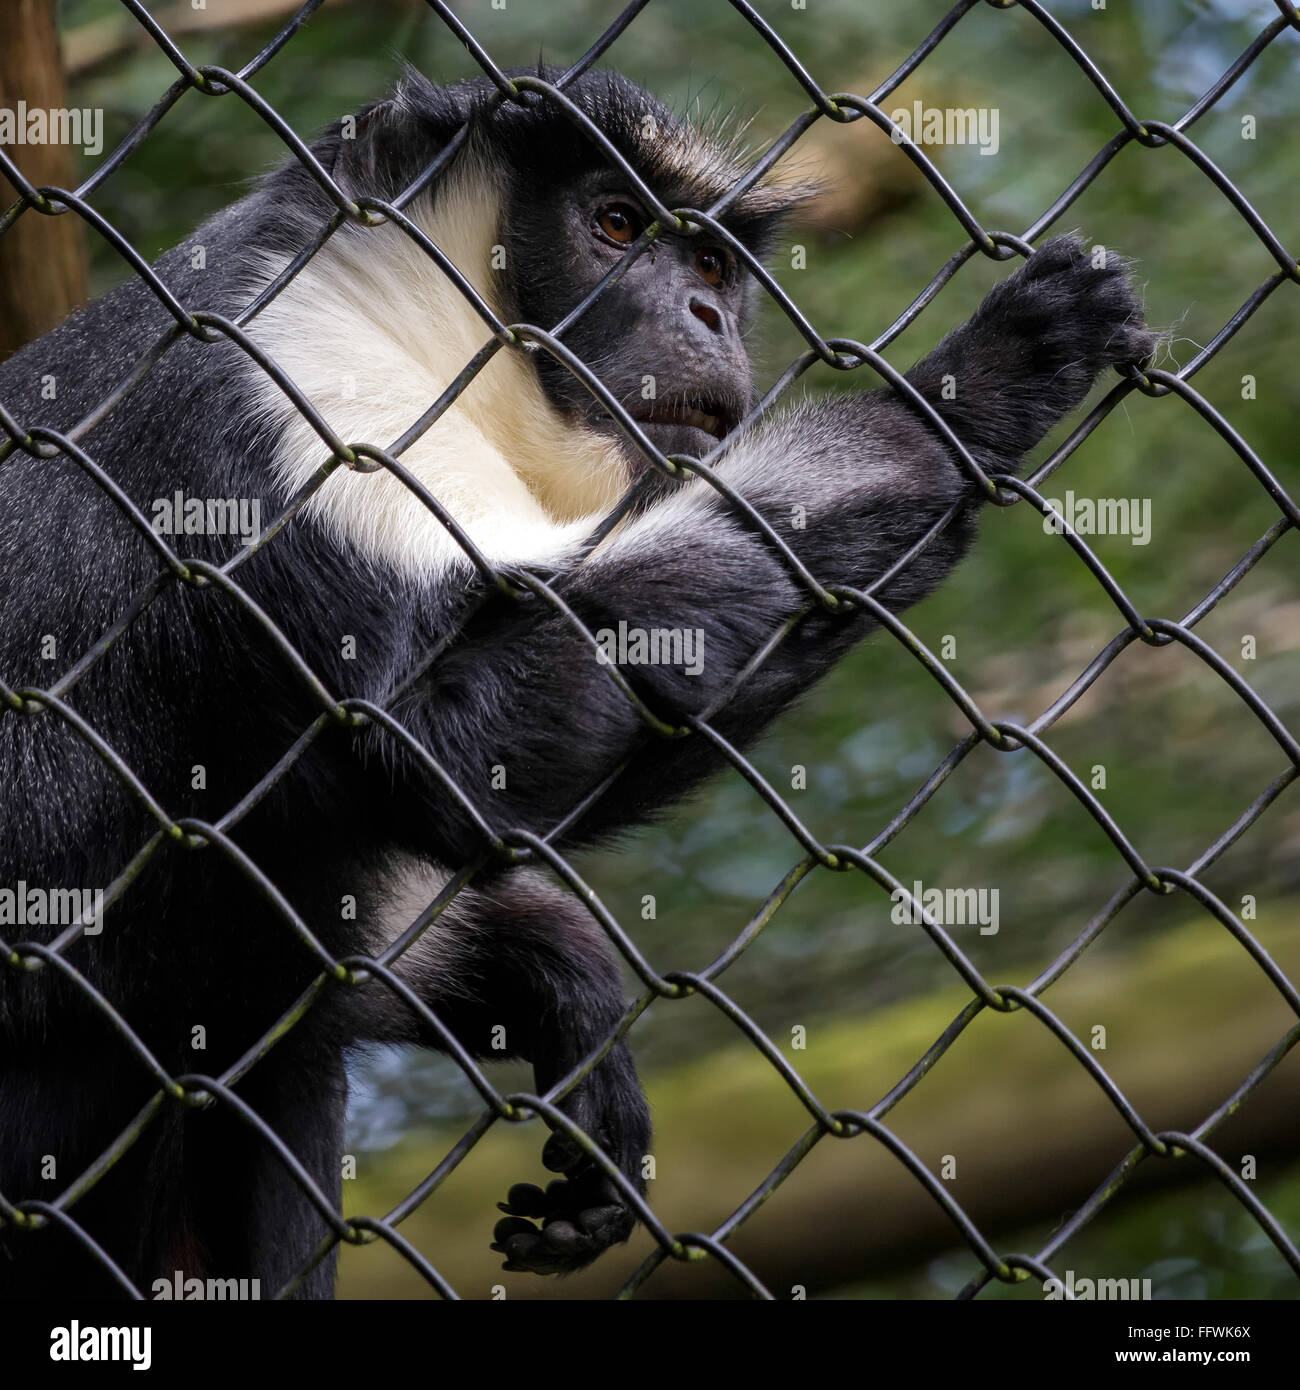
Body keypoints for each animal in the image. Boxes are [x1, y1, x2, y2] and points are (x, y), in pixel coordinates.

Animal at [0, 65, 1154, 1297]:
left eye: (711, 267)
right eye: (613, 226)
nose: (706, 318)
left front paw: (557, 979)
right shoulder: (293, 399)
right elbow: (445, 754)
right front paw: (971, 386)